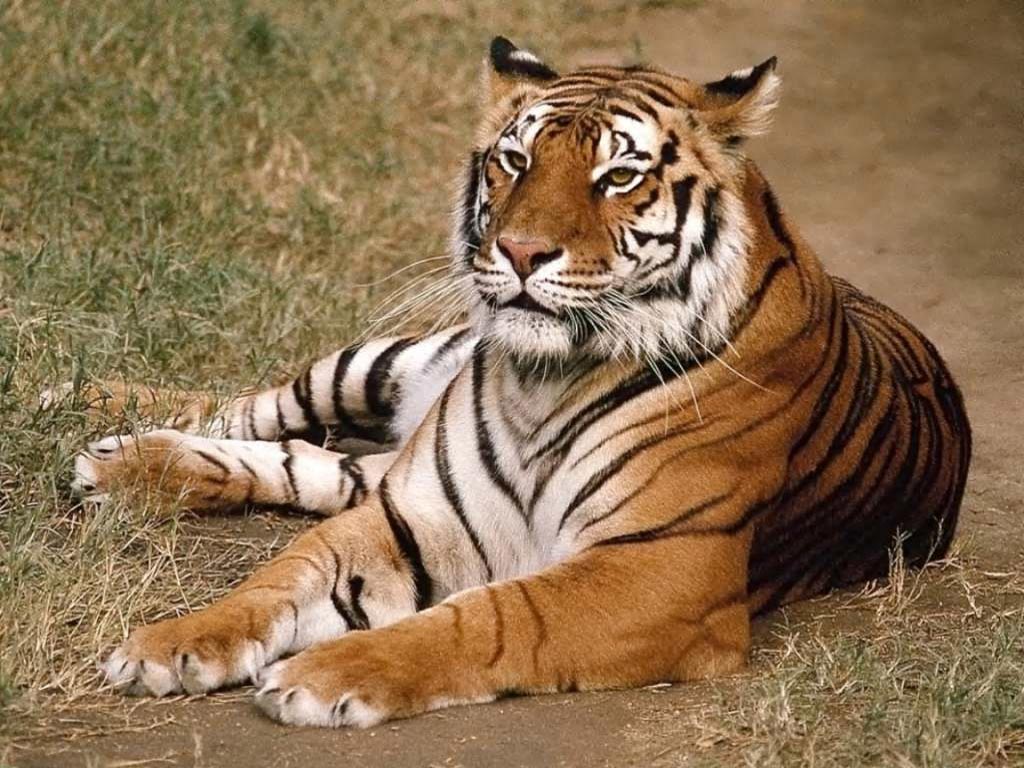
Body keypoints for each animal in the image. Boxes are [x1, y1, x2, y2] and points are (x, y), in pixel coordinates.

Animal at [59, 37, 971, 728]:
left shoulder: (661, 568)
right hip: (385, 364)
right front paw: (169, 644)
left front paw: (322, 675)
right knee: (269, 409)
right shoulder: (409, 515)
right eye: (515, 160)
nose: (522, 252)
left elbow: (486, 615)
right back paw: (101, 425)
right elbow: (280, 575)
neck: (545, 379)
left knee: (313, 461)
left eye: (618, 177)